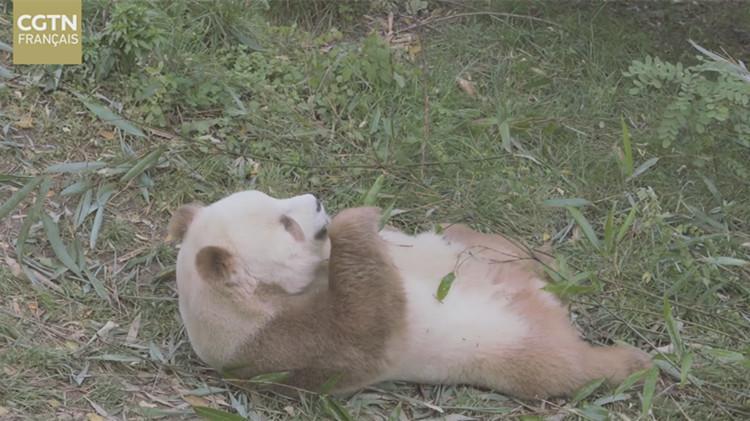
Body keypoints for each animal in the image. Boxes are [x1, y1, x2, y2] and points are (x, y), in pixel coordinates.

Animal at [168, 190, 651, 398]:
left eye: (276, 197)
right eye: (287, 224)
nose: (318, 201)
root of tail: (545, 299)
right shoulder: (282, 346)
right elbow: (366, 323)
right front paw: (355, 221)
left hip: (478, 250)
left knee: (488, 242)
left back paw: (546, 259)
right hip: (510, 349)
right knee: (566, 370)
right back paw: (635, 364)